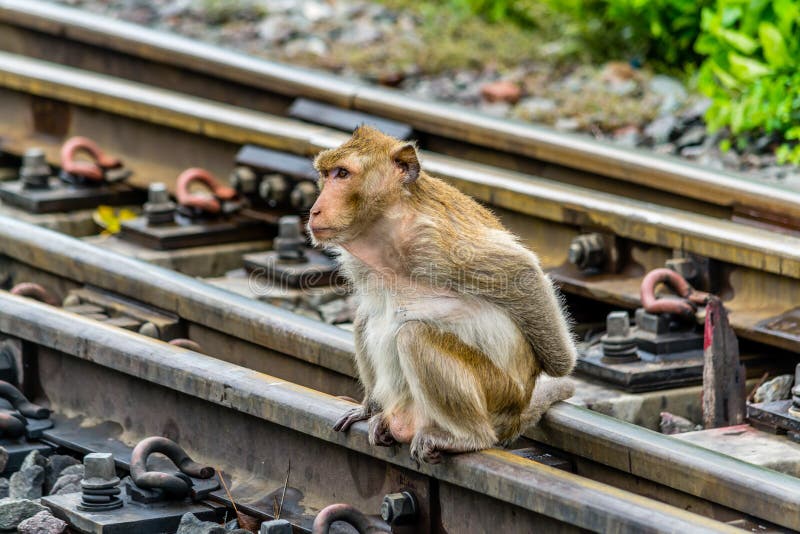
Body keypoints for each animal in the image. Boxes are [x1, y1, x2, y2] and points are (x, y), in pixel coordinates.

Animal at [307, 125, 577, 464]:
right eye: (325, 174)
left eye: (342, 174)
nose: (314, 210)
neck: (388, 225)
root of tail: (515, 412)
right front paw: (366, 407)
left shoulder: (437, 240)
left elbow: (522, 272)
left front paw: (560, 366)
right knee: (366, 317)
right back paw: (377, 411)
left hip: (498, 395)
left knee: (414, 336)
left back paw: (469, 437)